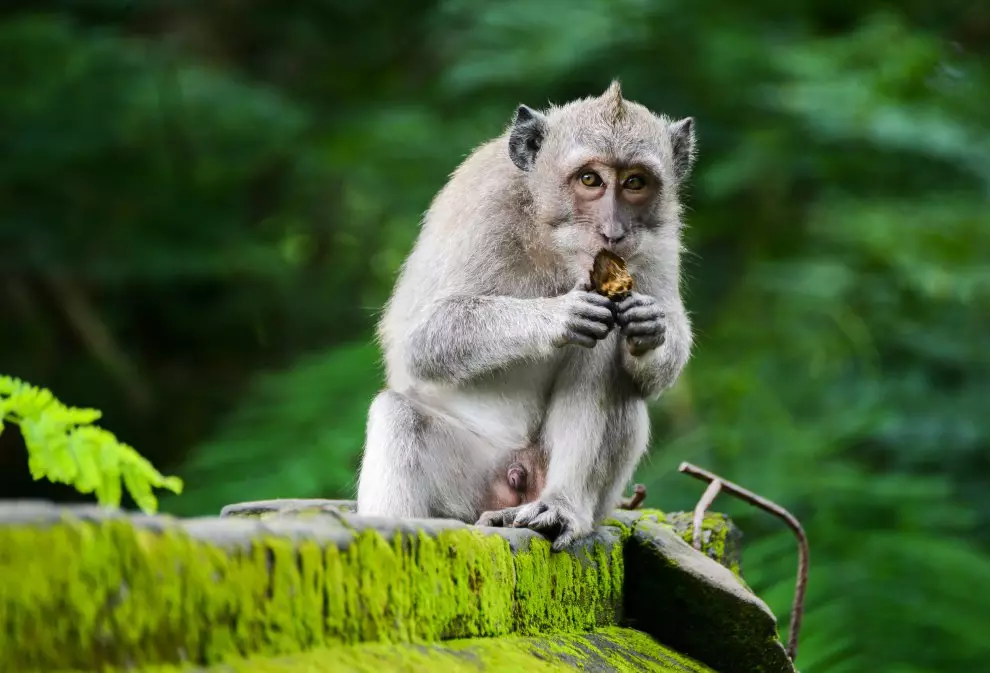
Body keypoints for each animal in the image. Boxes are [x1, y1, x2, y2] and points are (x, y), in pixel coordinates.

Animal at [358, 81, 696, 548]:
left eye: (635, 182)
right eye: (589, 179)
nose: (612, 231)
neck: (552, 240)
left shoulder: (660, 236)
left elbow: (652, 365)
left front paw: (650, 328)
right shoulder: (487, 208)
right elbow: (422, 339)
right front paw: (559, 316)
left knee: (609, 360)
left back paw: (560, 506)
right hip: (471, 487)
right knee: (400, 417)